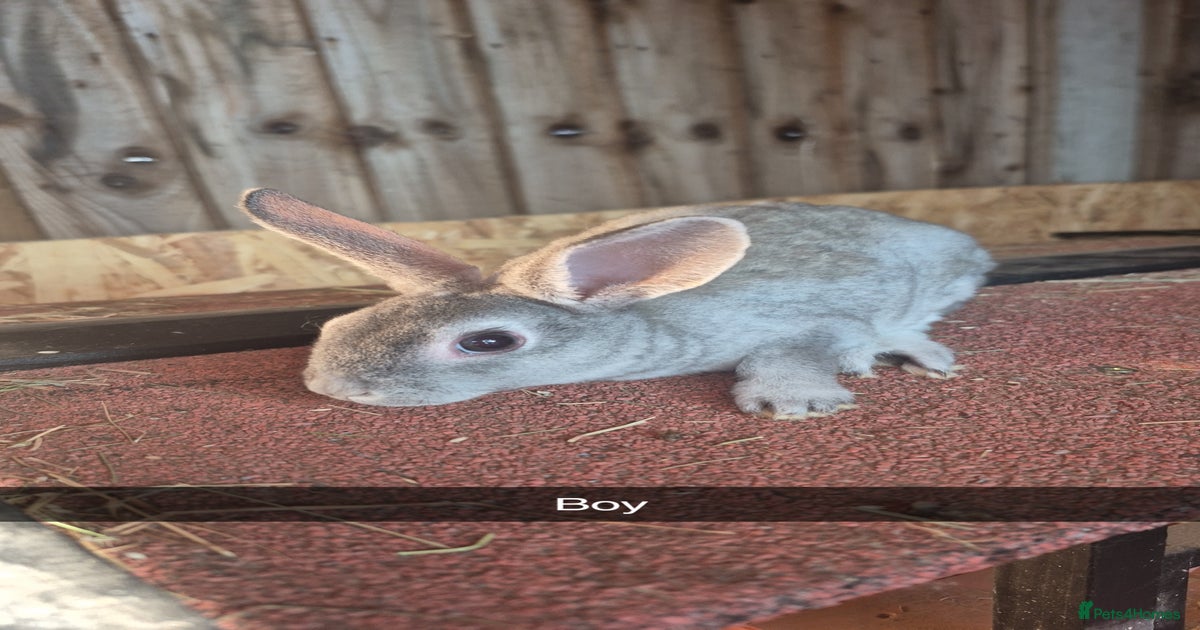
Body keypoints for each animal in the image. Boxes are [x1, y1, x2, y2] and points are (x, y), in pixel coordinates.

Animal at [239, 188, 994, 419]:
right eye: (344, 322)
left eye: (486, 342)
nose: (328, 386)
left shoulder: (816, 322)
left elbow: (805, 348)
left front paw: (796, 401)